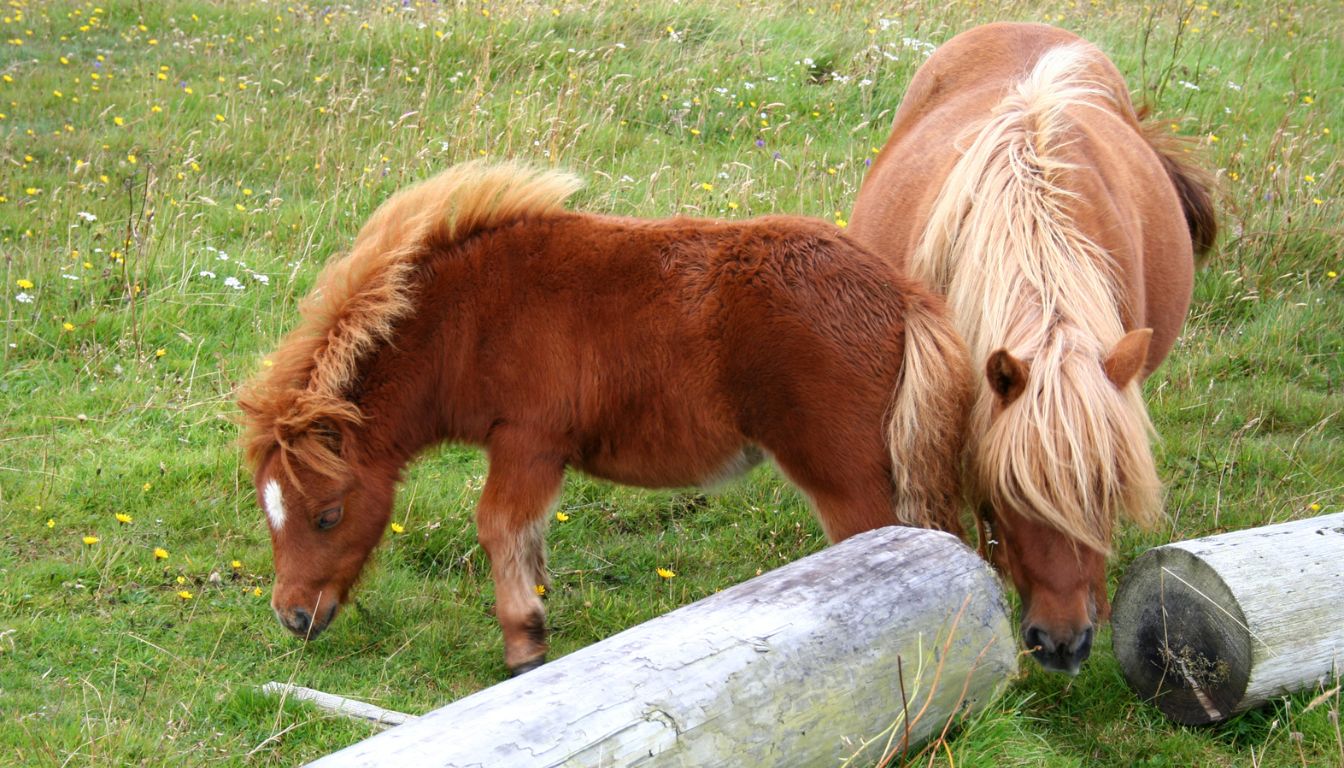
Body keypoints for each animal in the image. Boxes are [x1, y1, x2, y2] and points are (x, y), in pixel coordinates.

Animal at [238, 160, 972, 675]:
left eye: (327, 515)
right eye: (269, 511)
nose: (292, 617)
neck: (467, 321)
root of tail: (901, 295)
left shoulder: (529, 441)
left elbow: (498, 525)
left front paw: (524, 644)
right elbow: (527, 537)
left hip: (850, 482)